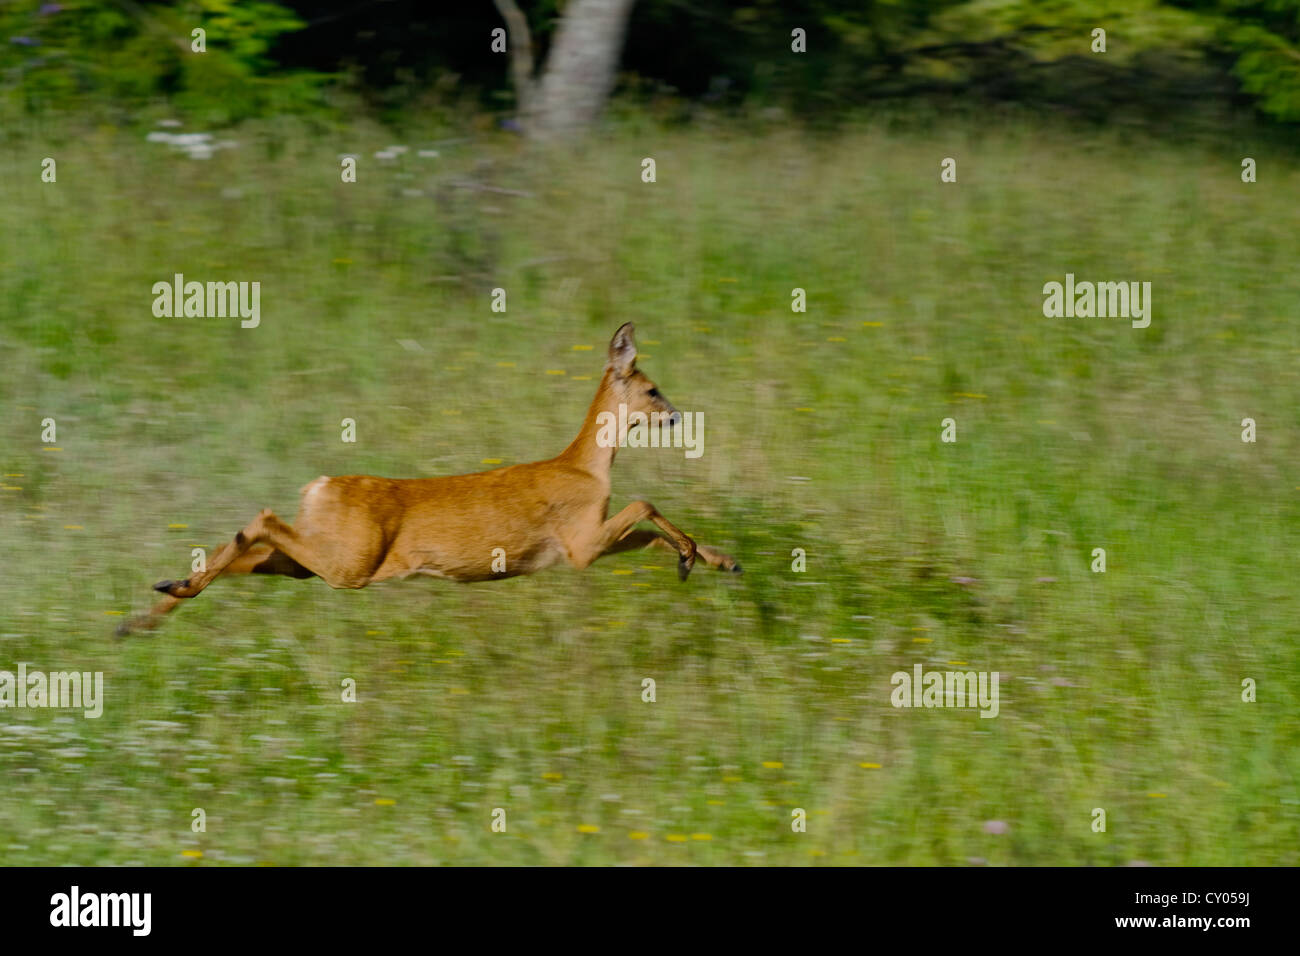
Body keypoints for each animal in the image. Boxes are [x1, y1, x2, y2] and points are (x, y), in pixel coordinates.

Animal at [118, 323, 740, 635]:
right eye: (653, 388)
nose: (677, 416)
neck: (585, 465)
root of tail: (319, 487)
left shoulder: (583, 545)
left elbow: (647, 529)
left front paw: (718, 561)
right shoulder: (579, 542)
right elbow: (643, 504)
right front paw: (695, 558)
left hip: (318, 559)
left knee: (252, 551)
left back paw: (153, 605)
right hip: (350, 563)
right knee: (263, 520)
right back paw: (164, 598)